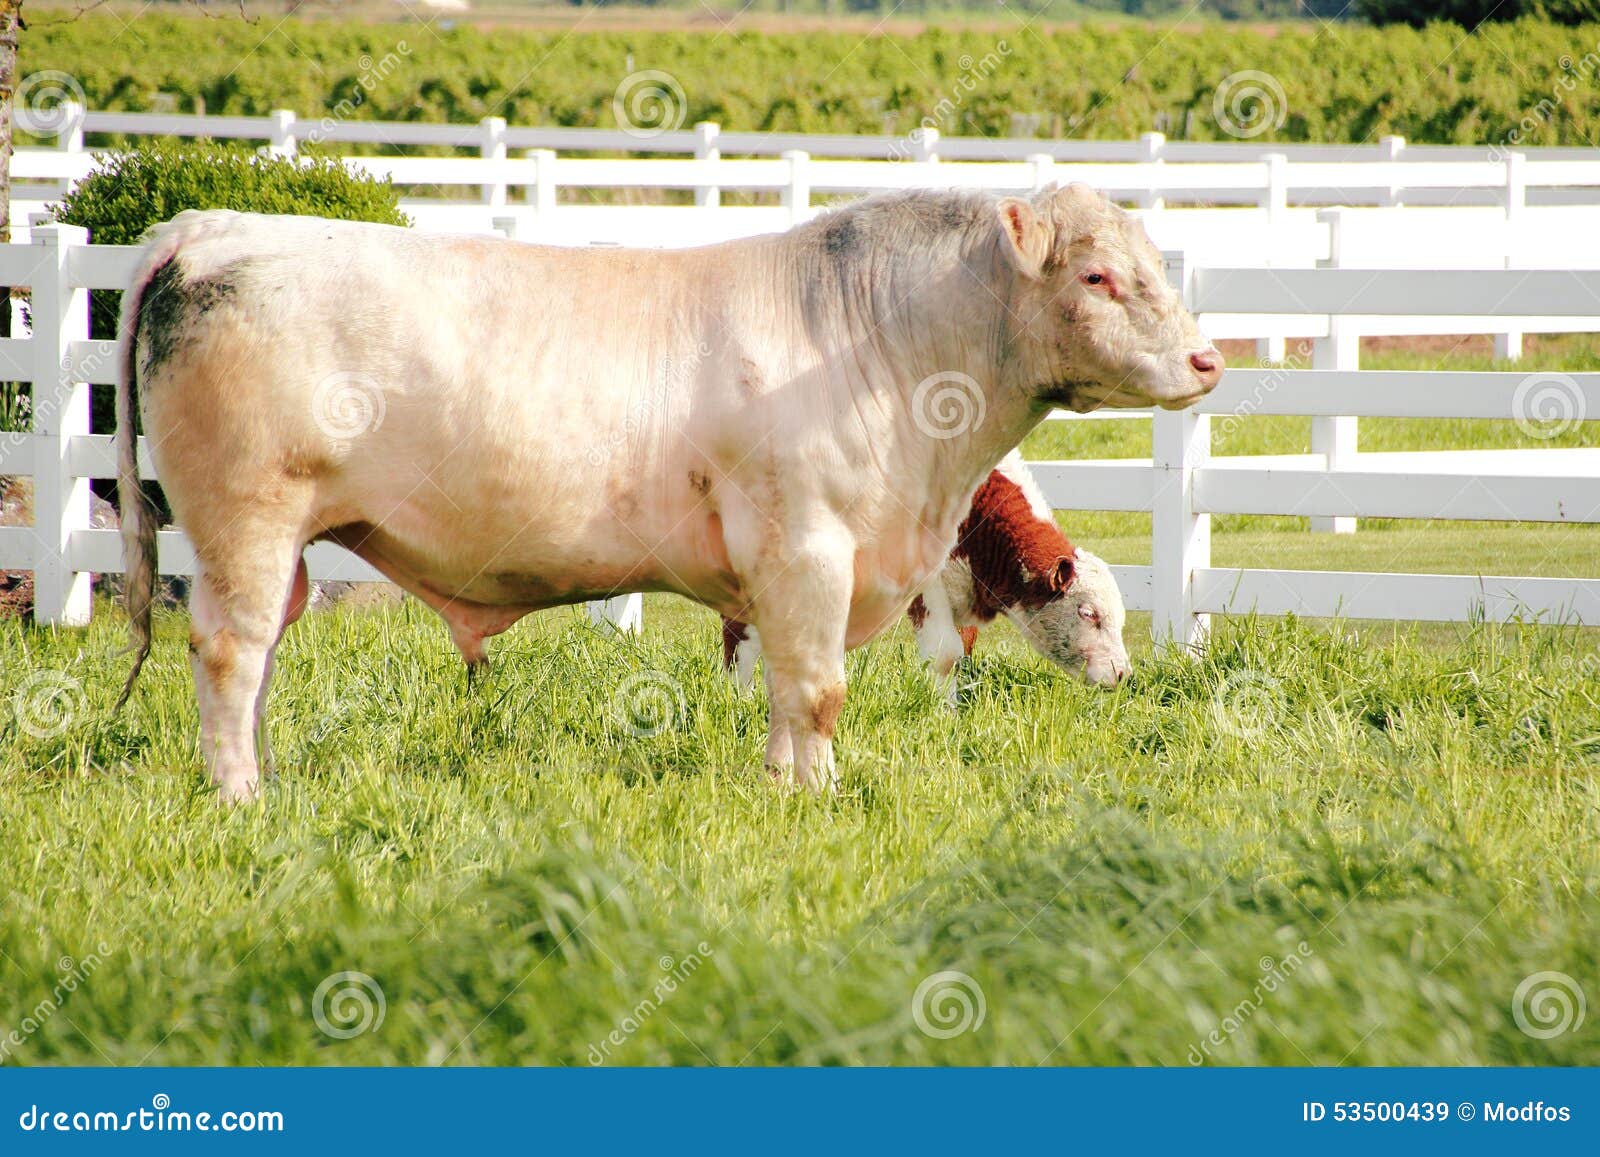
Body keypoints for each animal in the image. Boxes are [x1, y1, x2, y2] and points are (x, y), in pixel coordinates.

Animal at [719, 451, 1128, 703]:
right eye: (1089, 614)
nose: (1123, 674)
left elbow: (962, 650)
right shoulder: (929, 586)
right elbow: (944, 652)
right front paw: (944, 715)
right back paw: (741, 699)